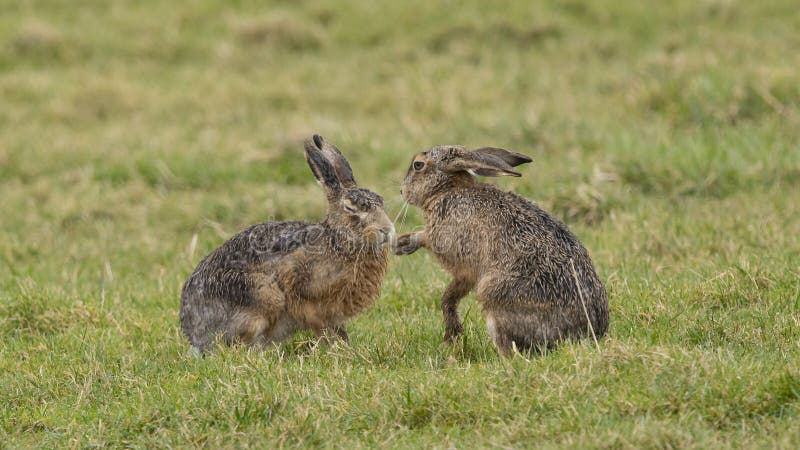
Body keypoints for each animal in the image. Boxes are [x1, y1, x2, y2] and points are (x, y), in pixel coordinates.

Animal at [180, 135, 395, 353]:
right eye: (350, 208)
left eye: (381, 201)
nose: (386, 230)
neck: (337, 241)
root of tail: (195, 335)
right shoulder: (310, 302)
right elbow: (323, 330)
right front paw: (335, 351)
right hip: (264, 296)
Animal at [393, 145, 608, 355]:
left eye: (418, 165)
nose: (402, 191)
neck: (447, 191)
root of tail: (586, 334)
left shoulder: (460, 260)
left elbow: (448, 292)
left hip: (494, 297)